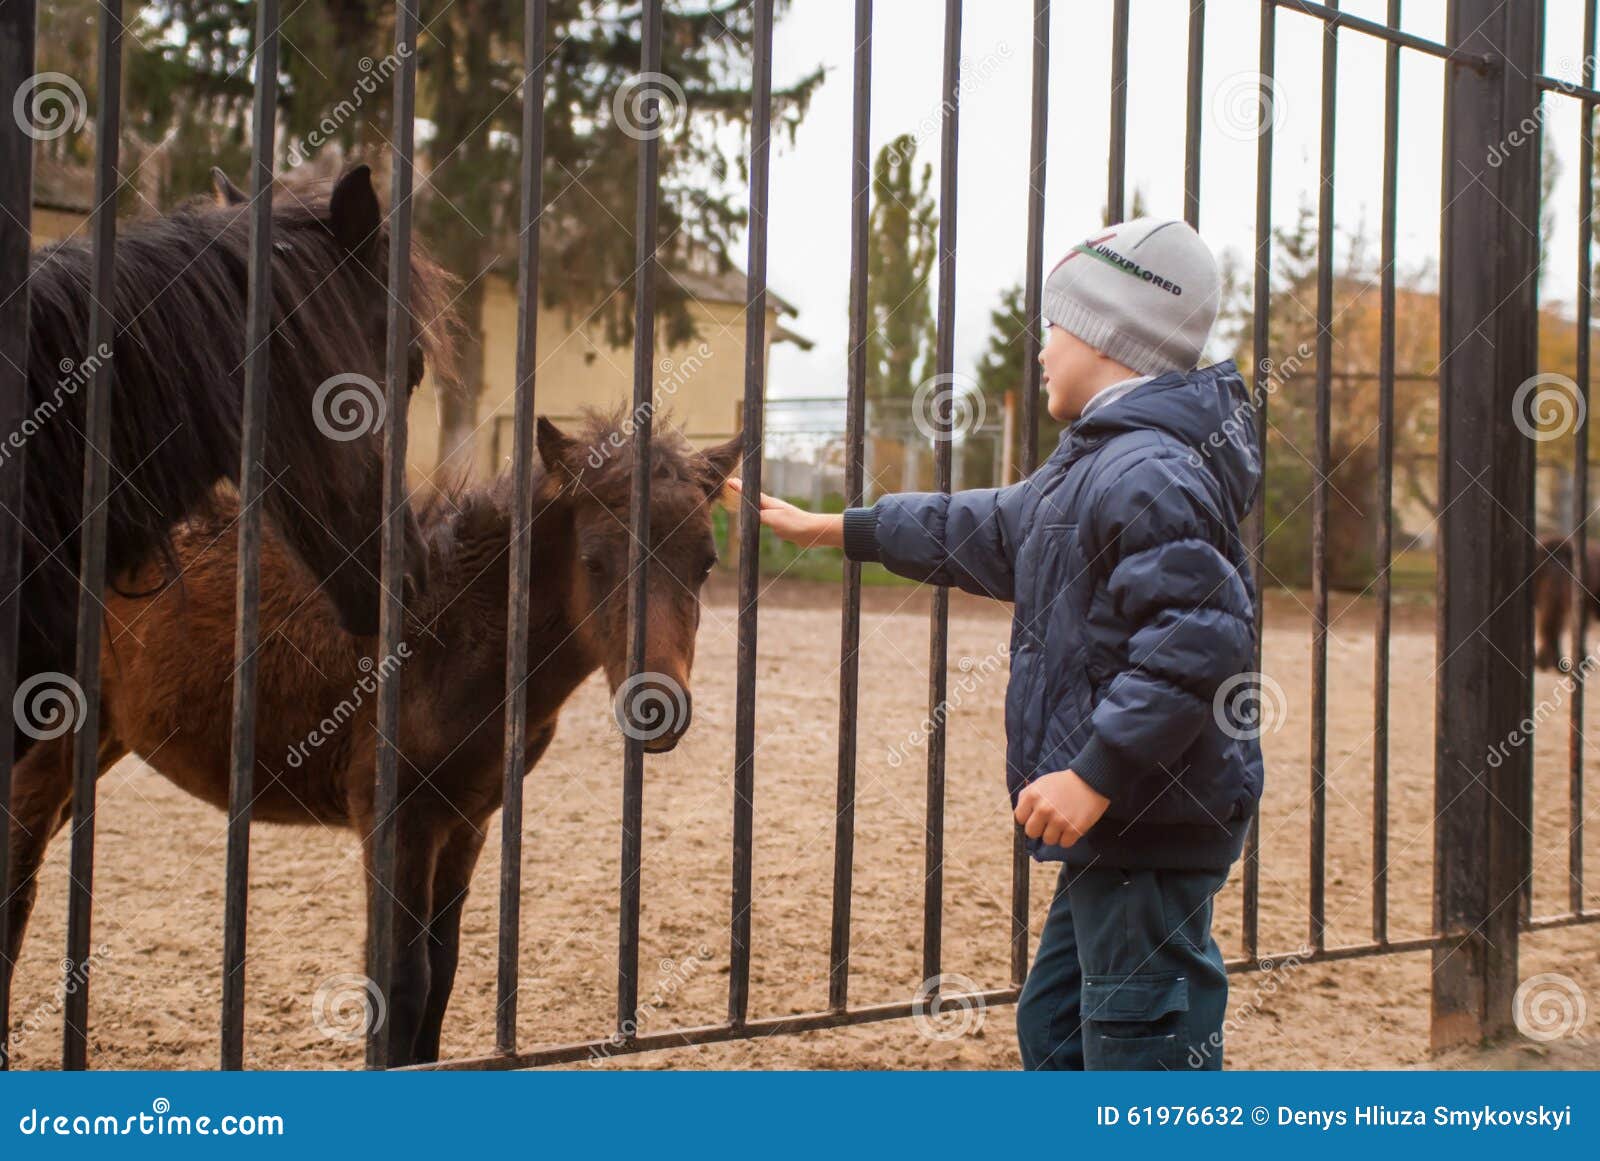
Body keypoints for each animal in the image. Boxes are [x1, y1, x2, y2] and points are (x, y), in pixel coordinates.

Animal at [5, 412, 740, 1067]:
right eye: (594, 562)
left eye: (706, 564)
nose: (658, 707)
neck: (442, 635)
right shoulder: (395, 817)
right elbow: (400, 977)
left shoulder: (467, 820)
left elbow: (442, 971)